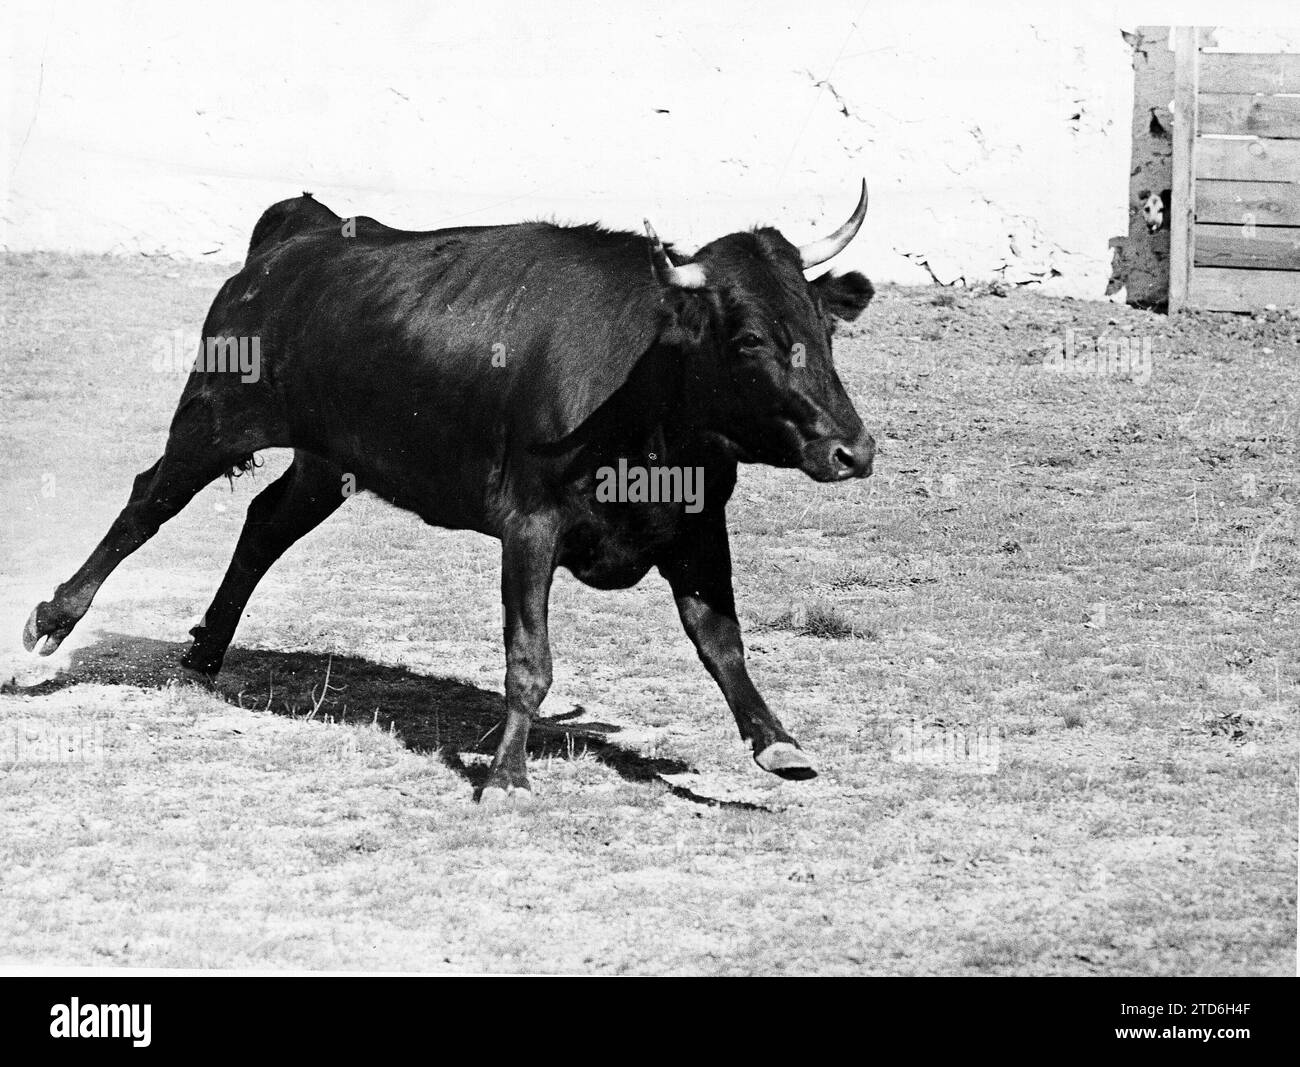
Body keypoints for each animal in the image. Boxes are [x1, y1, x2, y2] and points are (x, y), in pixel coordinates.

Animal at [23, 182, 877, 804]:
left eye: (824, 329)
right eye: (750, 339)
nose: (854, 449)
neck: (645, 389)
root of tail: (301, 230)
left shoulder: (698, 527)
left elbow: (721, 640)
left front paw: (778, 741)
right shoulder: (530, 525)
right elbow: (529, 659)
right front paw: (506, 775)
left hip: (327, 460)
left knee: (265, 523)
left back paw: (206, 646)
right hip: (215, 415)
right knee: (147, 505)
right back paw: (52, 623)